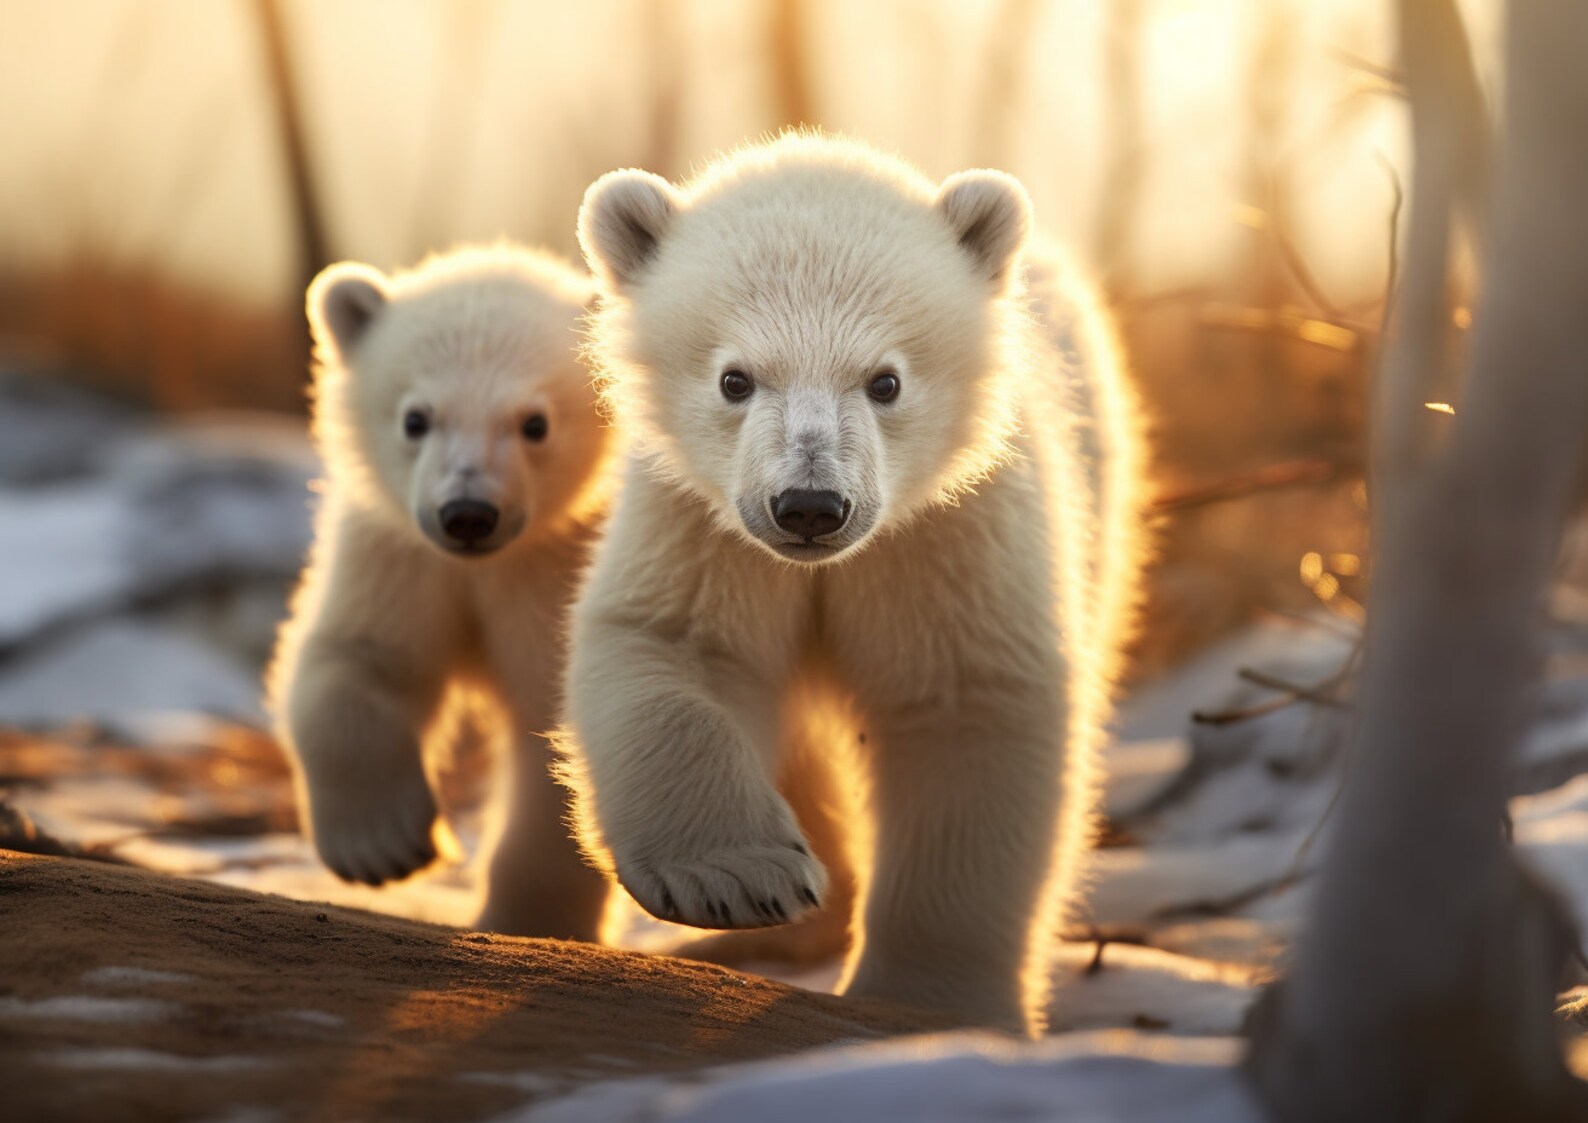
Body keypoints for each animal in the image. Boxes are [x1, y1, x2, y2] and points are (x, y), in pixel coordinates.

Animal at [266, 245, 613, 941]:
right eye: (416, 418)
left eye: (535, 423)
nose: (468, 515)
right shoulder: (402, 555)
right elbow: (360, 656)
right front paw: (384, 848)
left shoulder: (559, 568)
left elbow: (556, 735)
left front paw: (530, 920)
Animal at [557, 133, 1147, 1035]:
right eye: (735, 378)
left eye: (886, 380)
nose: (809, 506)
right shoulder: (701, 524)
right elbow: (674, 647)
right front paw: (738, 878)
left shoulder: (947, 536)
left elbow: (964, 710)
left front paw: (933, 999)